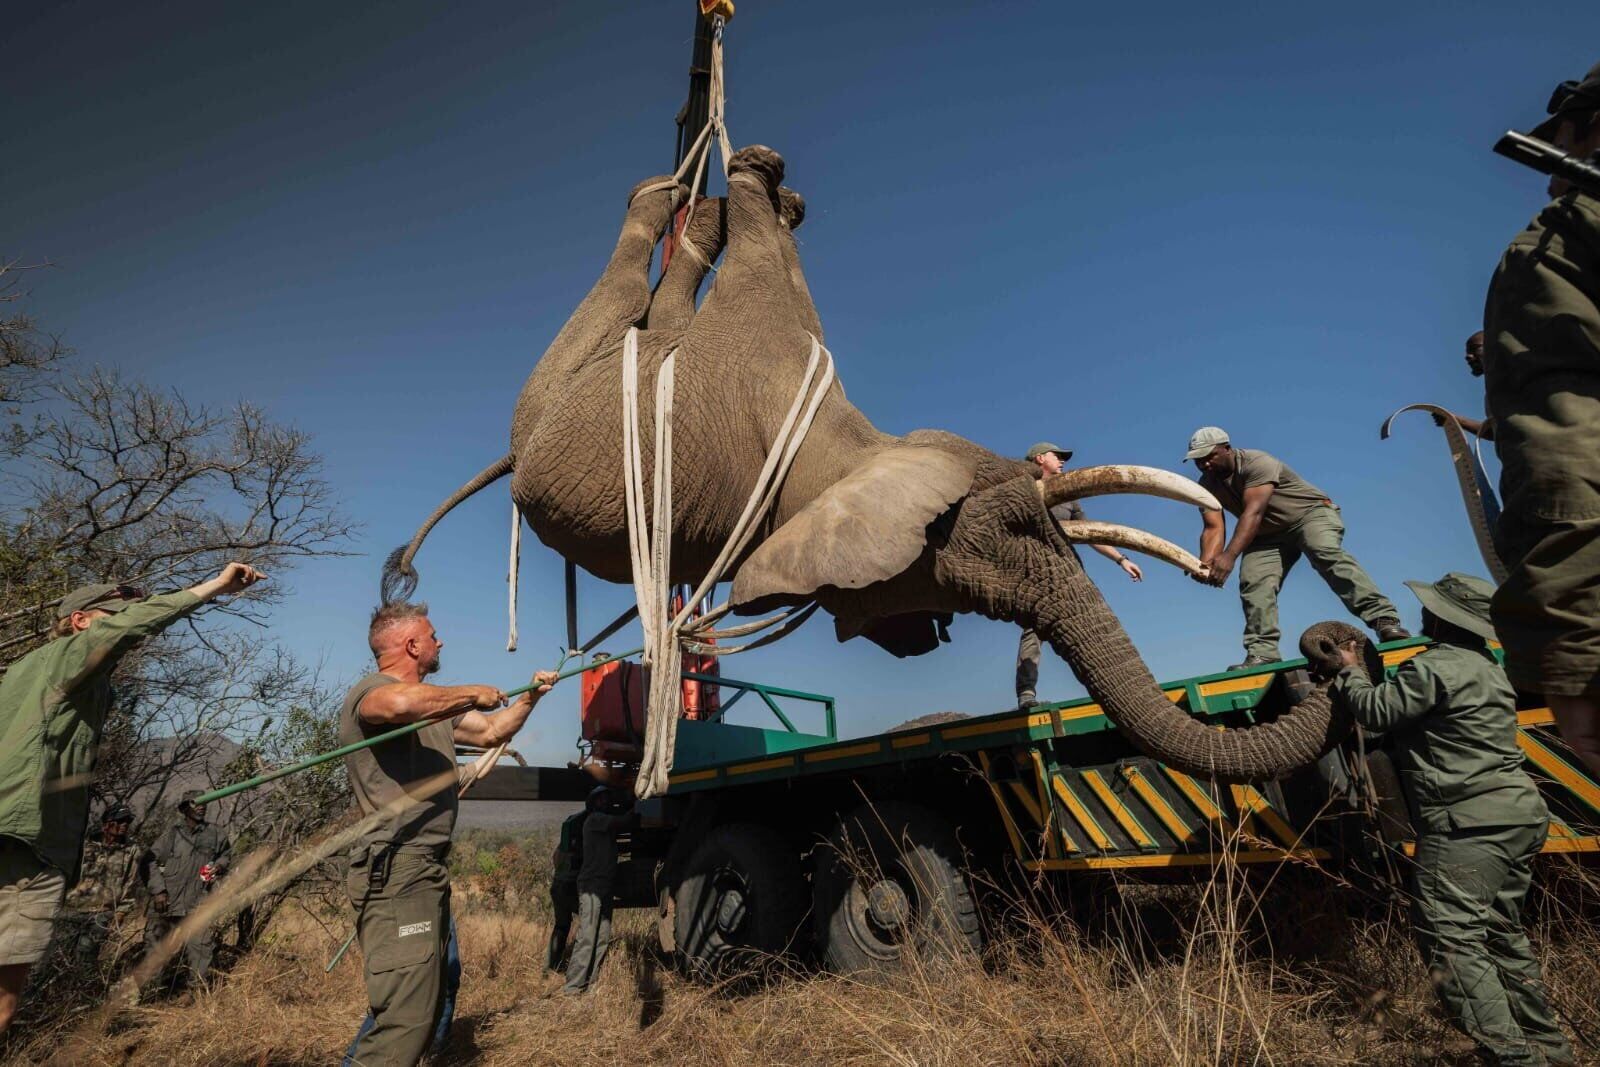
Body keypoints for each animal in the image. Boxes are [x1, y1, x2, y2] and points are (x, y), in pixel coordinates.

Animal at [386, 144, 1357, 782]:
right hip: (554, 393)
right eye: (1007, 525)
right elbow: (760, 247)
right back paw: (670, 194)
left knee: (659, 307)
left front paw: (767, 194)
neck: (853, 448)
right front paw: (759, 181)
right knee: (630, 295)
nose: (1326, 657)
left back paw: (691, 211)